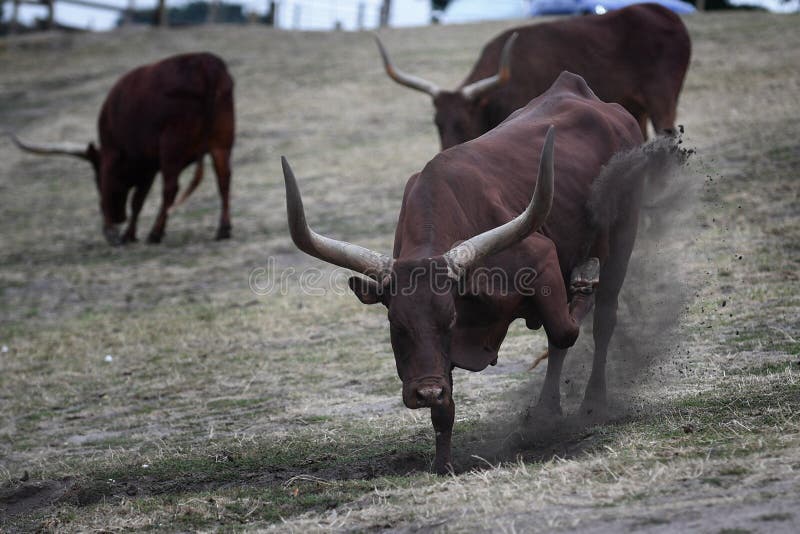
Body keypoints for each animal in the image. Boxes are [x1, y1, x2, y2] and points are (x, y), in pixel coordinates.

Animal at [6, 52, 235, 245]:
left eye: (95, 178)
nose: (117, 218)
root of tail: (205, 64)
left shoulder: (121, 158)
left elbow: (122, 194)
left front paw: (117, 233)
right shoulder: (148, 166)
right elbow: (138, 200)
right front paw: (127, 233)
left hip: (172, 147)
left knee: (171, 188)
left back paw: (155, 233)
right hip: (221, 143)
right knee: (223, 179)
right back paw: (223, 229)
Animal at [280, 71, 658, 474]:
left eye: (449, 319)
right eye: (396, 324)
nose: (425, 391)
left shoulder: (542, 262)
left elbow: (564, 330)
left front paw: (584, 283)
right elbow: (445, 408)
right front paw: (442, 463)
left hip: (624, 234)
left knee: (603, 319)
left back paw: (592, 401)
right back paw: (547, 412)